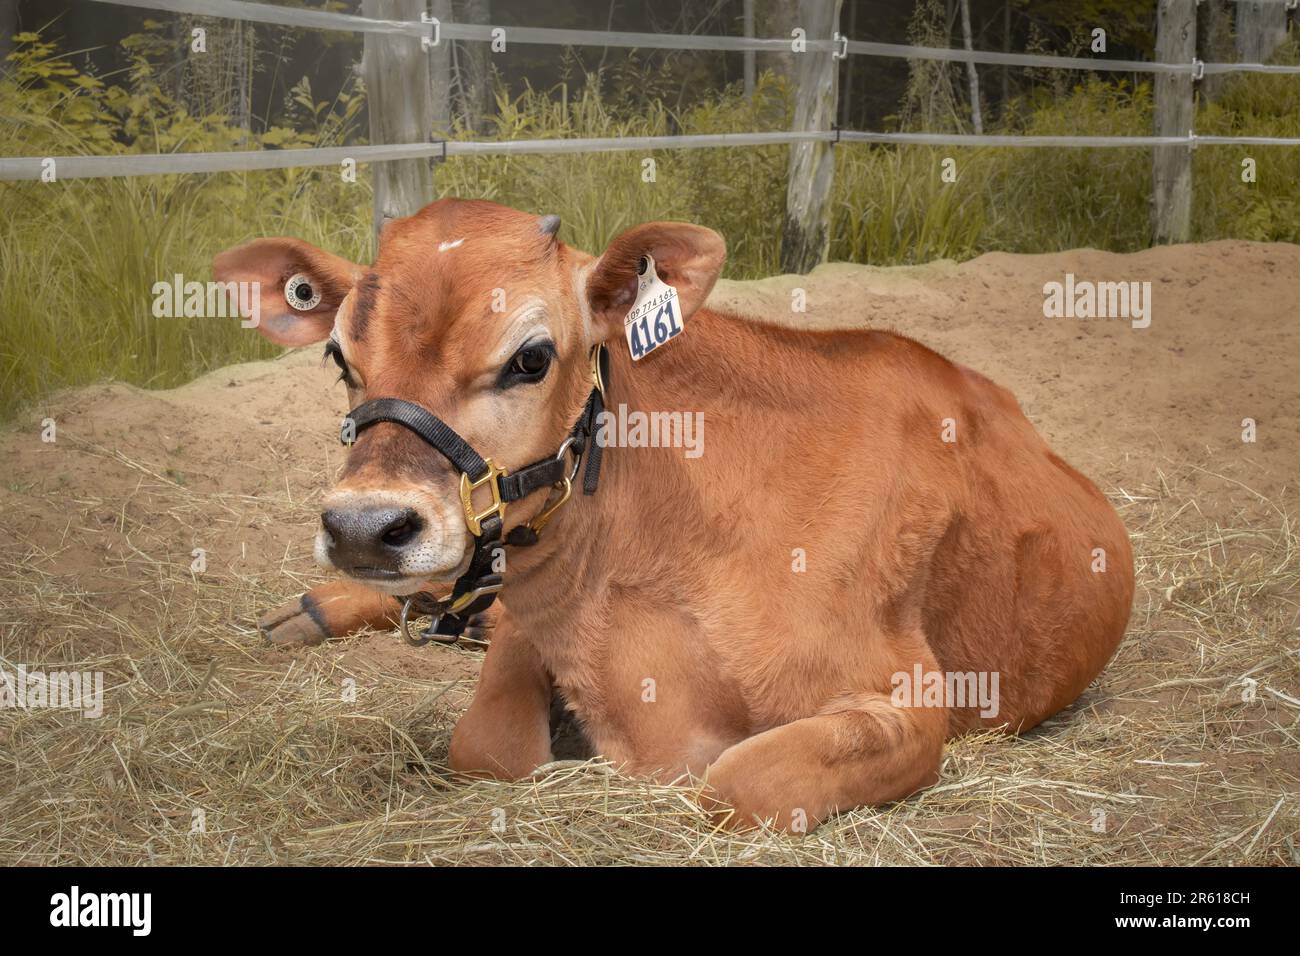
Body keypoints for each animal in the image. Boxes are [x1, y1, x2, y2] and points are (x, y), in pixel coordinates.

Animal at [215, 198, 1134, 831]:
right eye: (340, 357)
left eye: (531, 357)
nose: (364, 527)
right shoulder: (533, 615)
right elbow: (487, 744)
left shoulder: (908, 697)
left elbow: (735, 783)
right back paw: (313, 610)